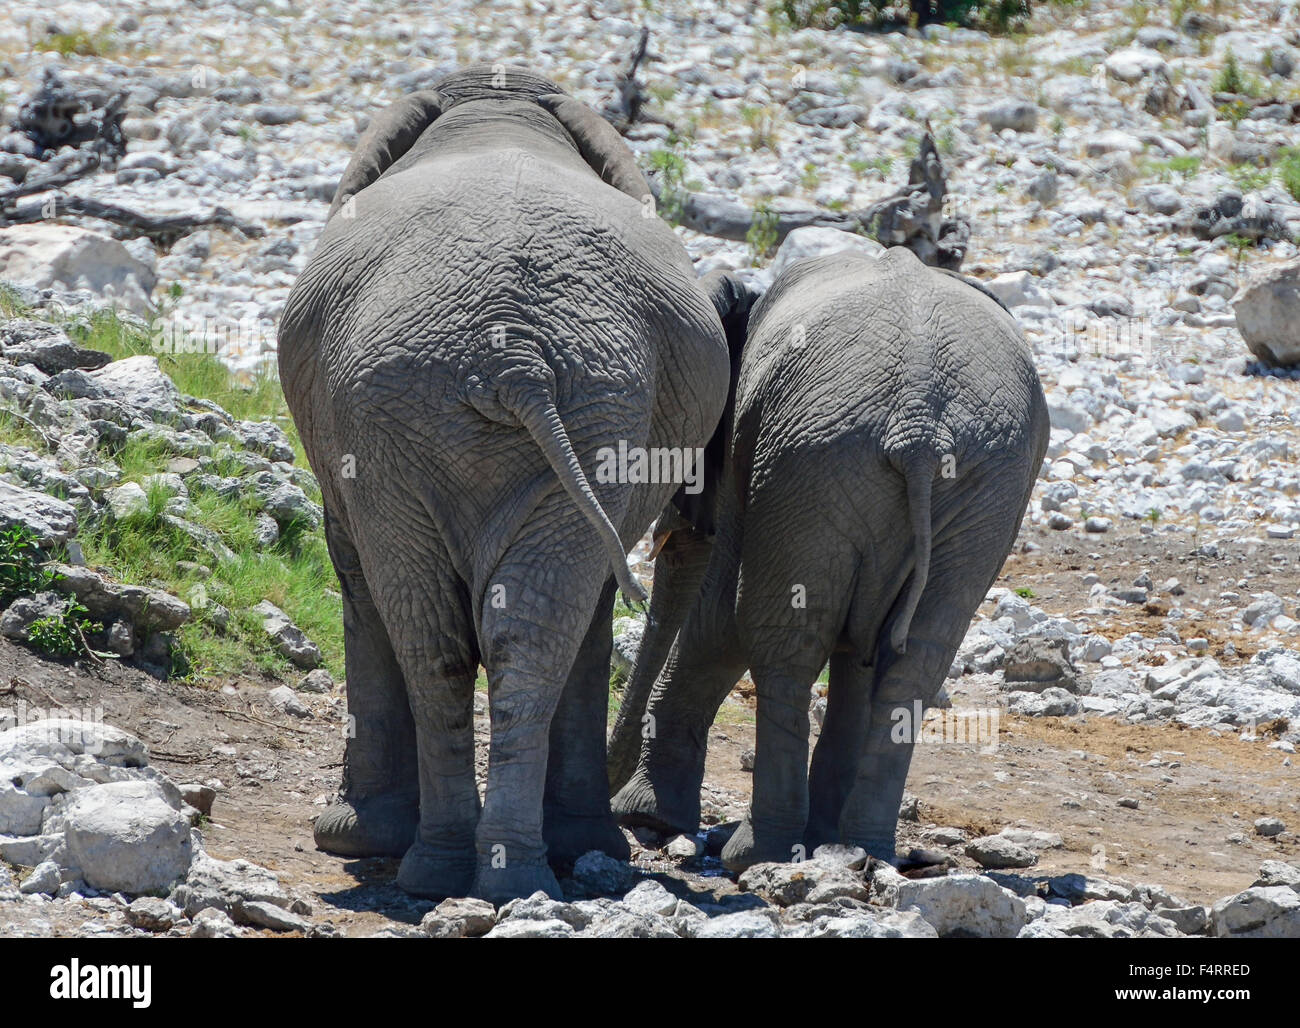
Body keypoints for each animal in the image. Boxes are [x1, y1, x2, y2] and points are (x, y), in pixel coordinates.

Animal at [277, 65, 742, 904]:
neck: (500, 101)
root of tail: (513, 352)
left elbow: (356, 573)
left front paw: (348, 839)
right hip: (507, 410)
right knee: (511, 631)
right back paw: (490, 874)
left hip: (465, 414)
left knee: (445, 625)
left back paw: (467, 870)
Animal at [609, 246, 1050, 871]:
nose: (606, 786)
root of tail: (920, 426)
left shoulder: (752, 449)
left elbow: (720, 620)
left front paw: (646, 817)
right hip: (970, 485)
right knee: (916, 658)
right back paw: (864, 848)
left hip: (811, 463)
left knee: (778, 639)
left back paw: (758, 853)